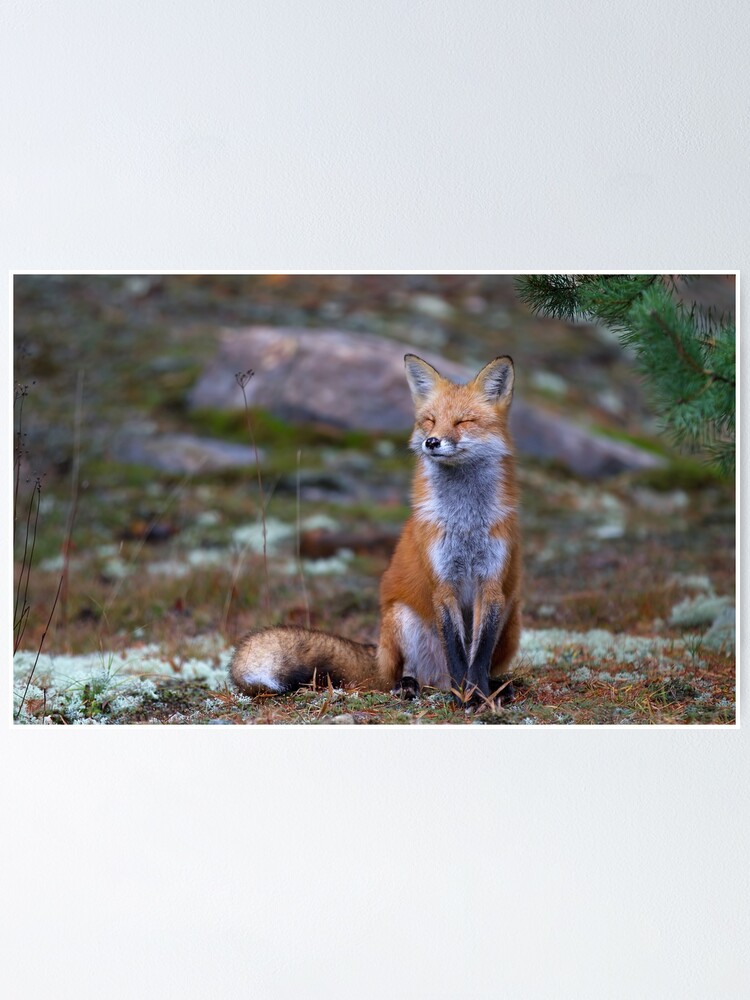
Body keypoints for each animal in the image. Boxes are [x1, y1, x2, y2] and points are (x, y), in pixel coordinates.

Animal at [230, 353, 521, 706]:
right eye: (429, 420)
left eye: (463, 422)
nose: (431, 442)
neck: (464, 522)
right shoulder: (443, 583)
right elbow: (457, 651)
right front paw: (464, 696)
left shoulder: (491, 584)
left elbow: (477, 656)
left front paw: (478, 695)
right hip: (401, 618)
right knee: (408, 673)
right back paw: (412, 686)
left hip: (510, 615)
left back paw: (497, 686)